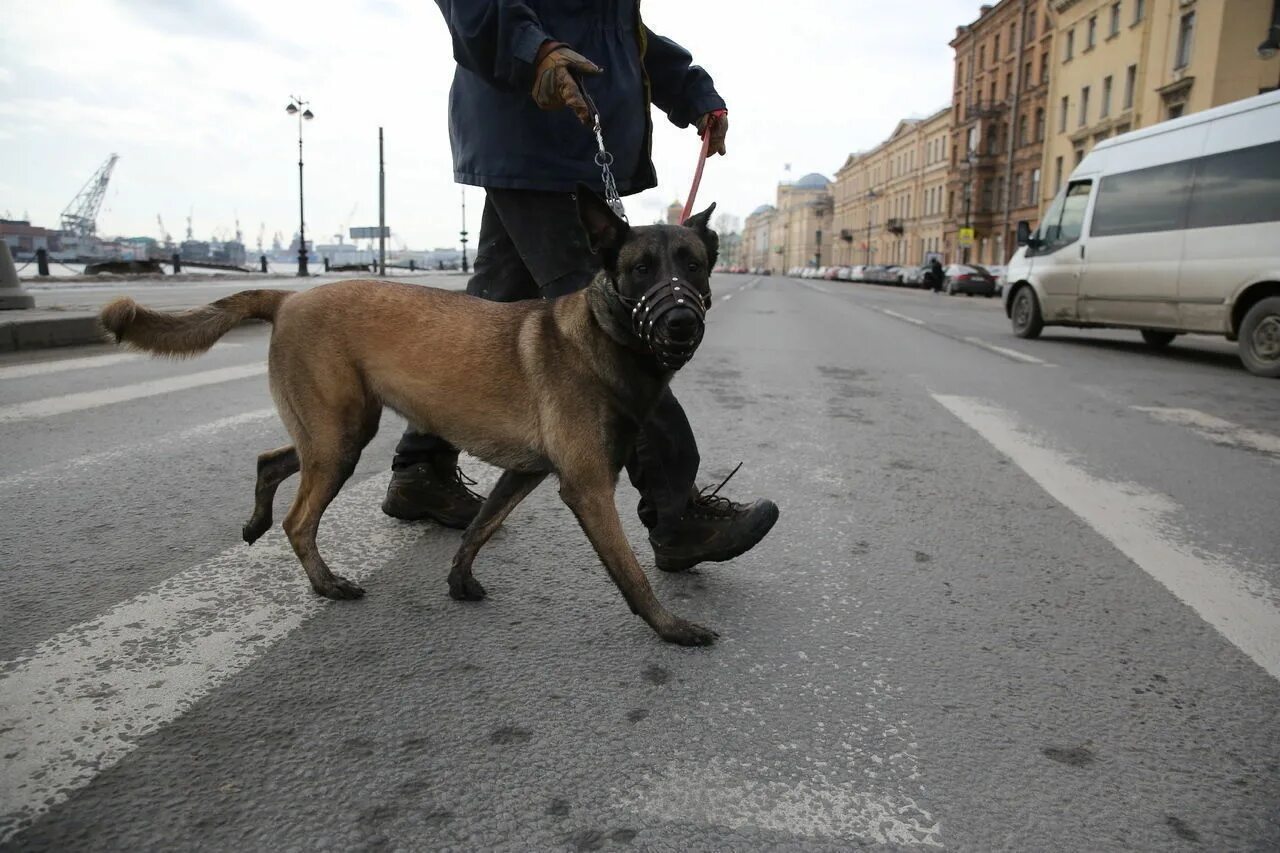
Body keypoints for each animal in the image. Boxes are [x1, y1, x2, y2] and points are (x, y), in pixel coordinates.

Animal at [99, 183, 721, 640]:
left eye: (693, 265)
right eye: (640, 268)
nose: (680, 322)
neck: (604, 335)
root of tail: (290, 297)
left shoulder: (524, 472)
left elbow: (480, 526)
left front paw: (459, 581)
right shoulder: (587, 489)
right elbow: (630, 572)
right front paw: (671, 627)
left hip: (335, 432)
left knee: (271, 460)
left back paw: (257, 521)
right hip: (340, 439)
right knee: (299, 520)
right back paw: (326, 584)